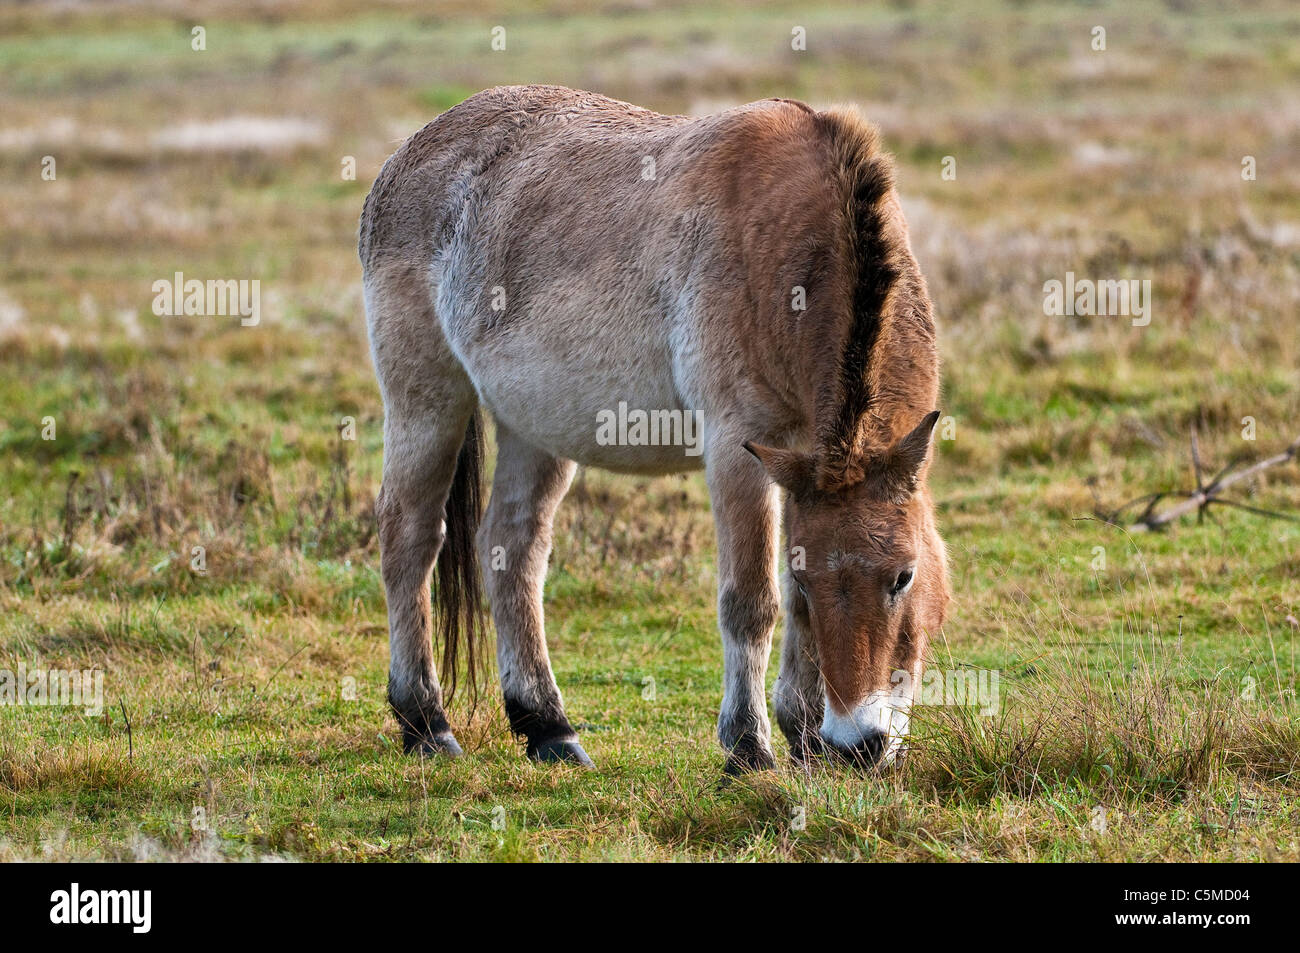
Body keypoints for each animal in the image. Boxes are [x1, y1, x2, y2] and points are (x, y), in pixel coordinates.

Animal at [358, 85, 949, 774]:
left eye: (904, 575)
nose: (858, 745)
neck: (790, 249)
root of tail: (406, 157)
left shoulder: (796, 460)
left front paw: (802, 738)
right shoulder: (738, 446)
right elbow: (752, 601)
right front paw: (749, 748)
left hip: (534, 429)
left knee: (512, 548)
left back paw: (548, 728)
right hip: (426, 398)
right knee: (410, 538)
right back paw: (426, 723)